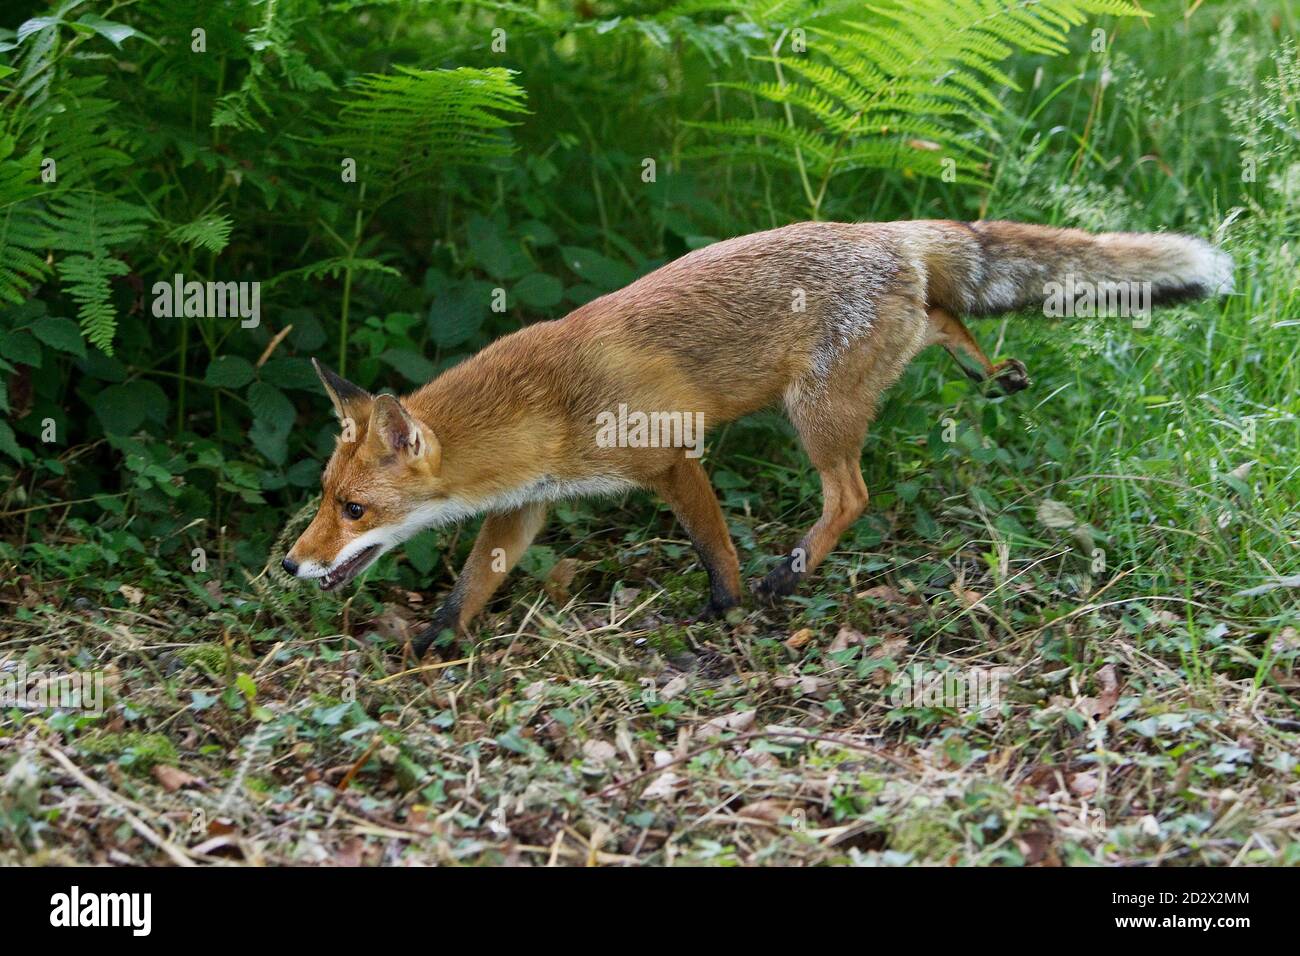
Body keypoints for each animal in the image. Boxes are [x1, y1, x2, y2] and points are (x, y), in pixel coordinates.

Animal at [282, 219, 1233, 658]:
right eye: (324, 501)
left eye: (354, 509)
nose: (291, 564)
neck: (549, 403)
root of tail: (884, 230)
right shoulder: (528, 508)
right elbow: (474, 582)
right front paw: (433, 642)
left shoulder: (671, 457)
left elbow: (715, 545)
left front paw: (728, 606)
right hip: (866, 364)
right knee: (942, 311)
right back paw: (988, 367)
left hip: (816, 413)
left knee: (852, 494)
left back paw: (795, 571)